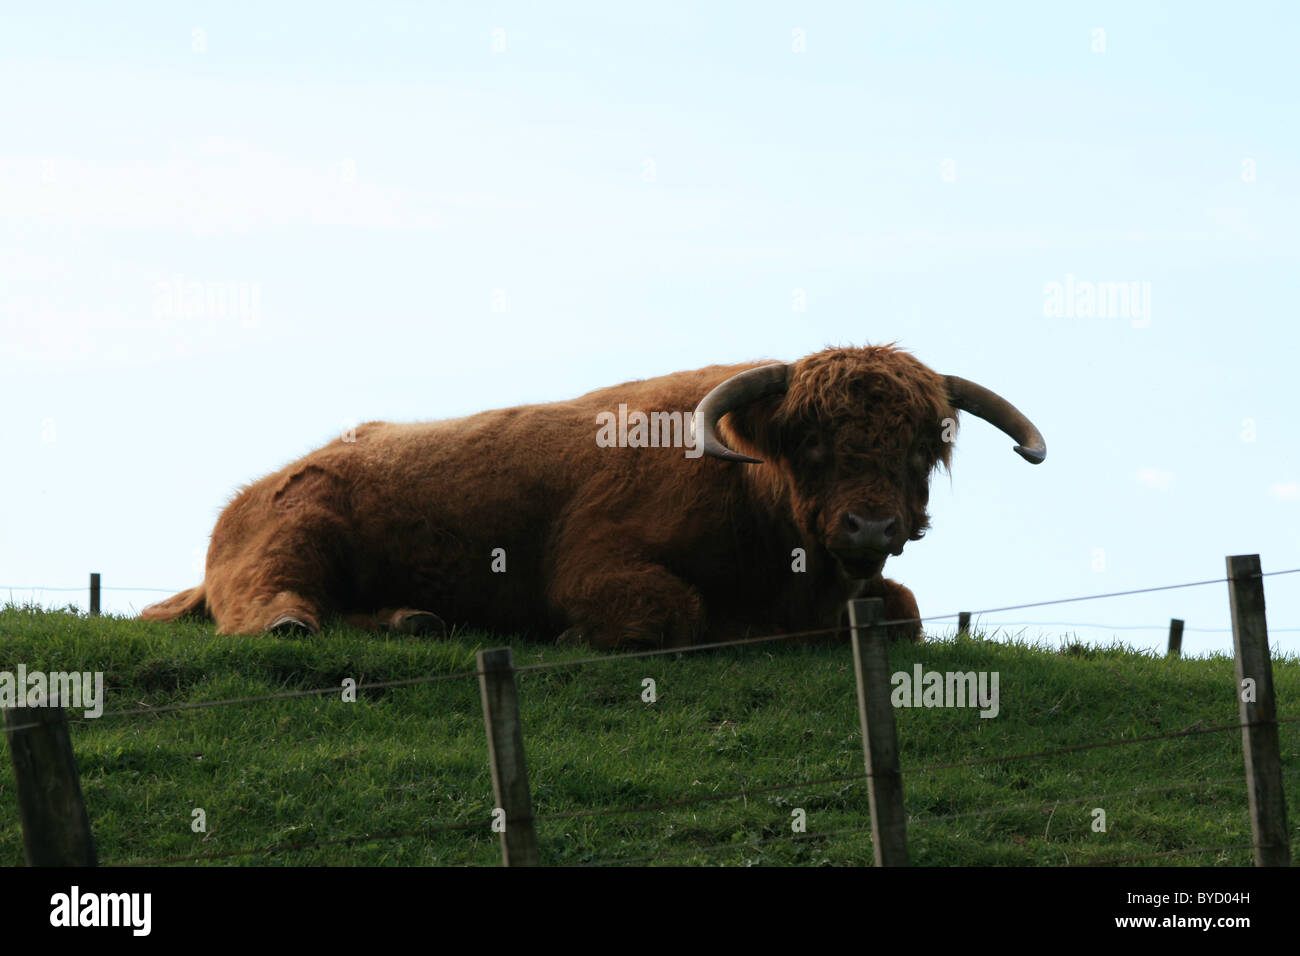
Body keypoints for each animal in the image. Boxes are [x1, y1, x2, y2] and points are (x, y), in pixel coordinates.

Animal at [140, 344, 1045, 647]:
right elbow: (671, 612)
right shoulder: (597, 563)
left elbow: (907, 609)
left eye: (922, 447)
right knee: (271, 604)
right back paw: (298, 624)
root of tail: (248, 494)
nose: (870, 524)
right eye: (813, 443)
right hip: (295, 532)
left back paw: (414, 619)